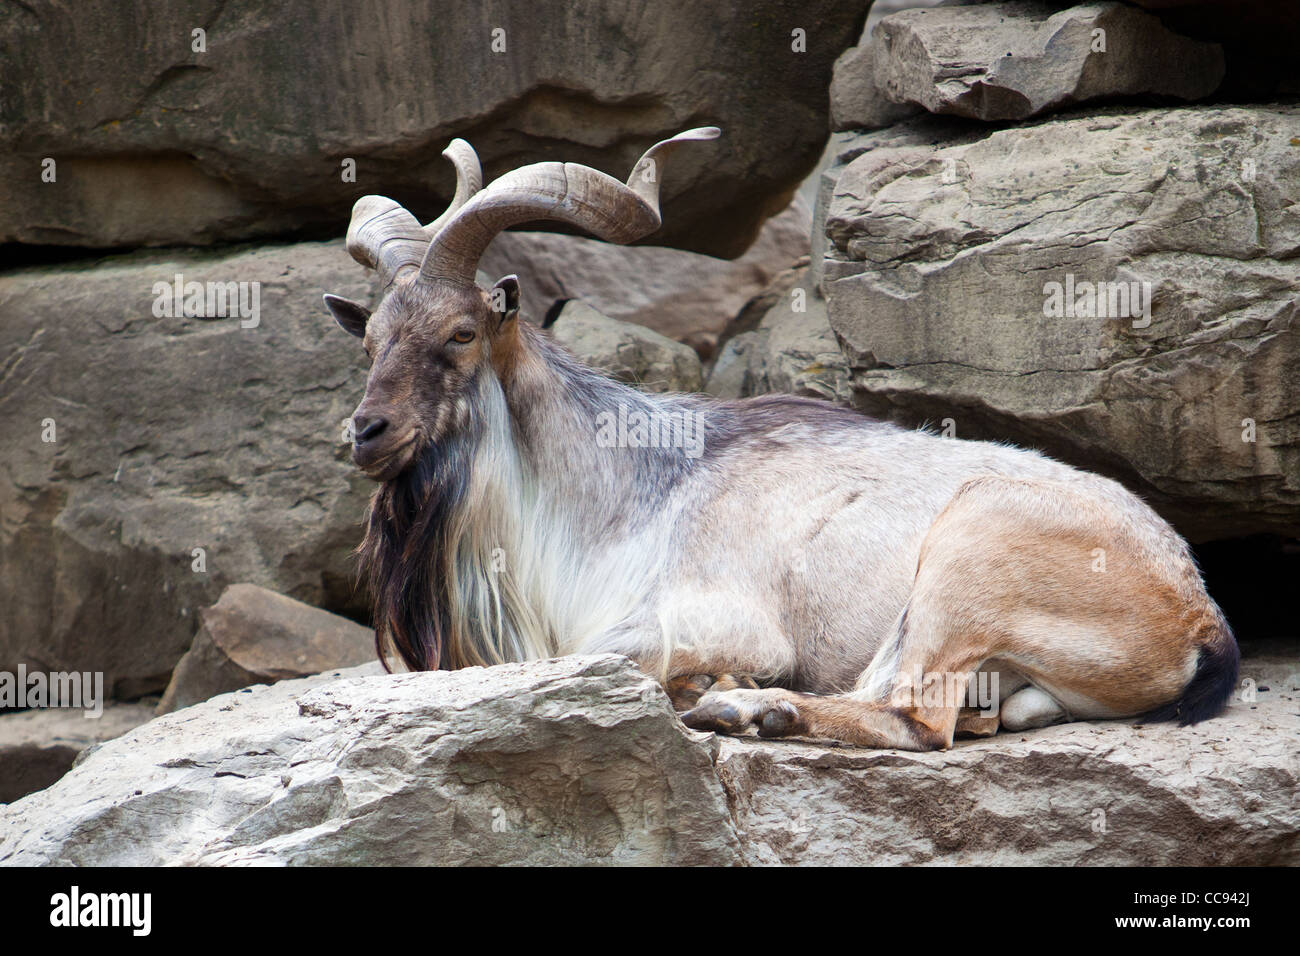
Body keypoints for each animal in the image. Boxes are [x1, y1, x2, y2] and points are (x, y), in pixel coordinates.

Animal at [322, 129, 1238, 750]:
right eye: (370, 341)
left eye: (461, 333)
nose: (367, 433)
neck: (626, 494)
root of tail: (1198, 615)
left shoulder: (707, 618)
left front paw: (723, 683)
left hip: (968, 561)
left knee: (918, 717)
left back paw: (747, 708)